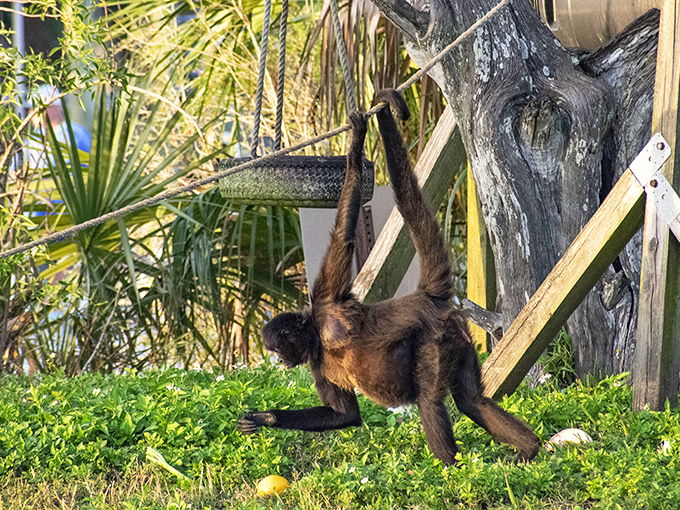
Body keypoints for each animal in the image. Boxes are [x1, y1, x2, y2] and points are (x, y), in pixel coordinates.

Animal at [238, 89, 540, 465]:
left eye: (277, 347)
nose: (280, 361)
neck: (317, 335)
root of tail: (427, 297)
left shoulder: (327, 300)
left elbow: (343, 236)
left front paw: (355, 144)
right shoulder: (317, 362)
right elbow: (344, 415)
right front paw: (265, 418)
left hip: (434, 339)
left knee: (430, 401)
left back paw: (450, 470)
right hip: (459, 339)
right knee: (473, 401)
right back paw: (530, 449)